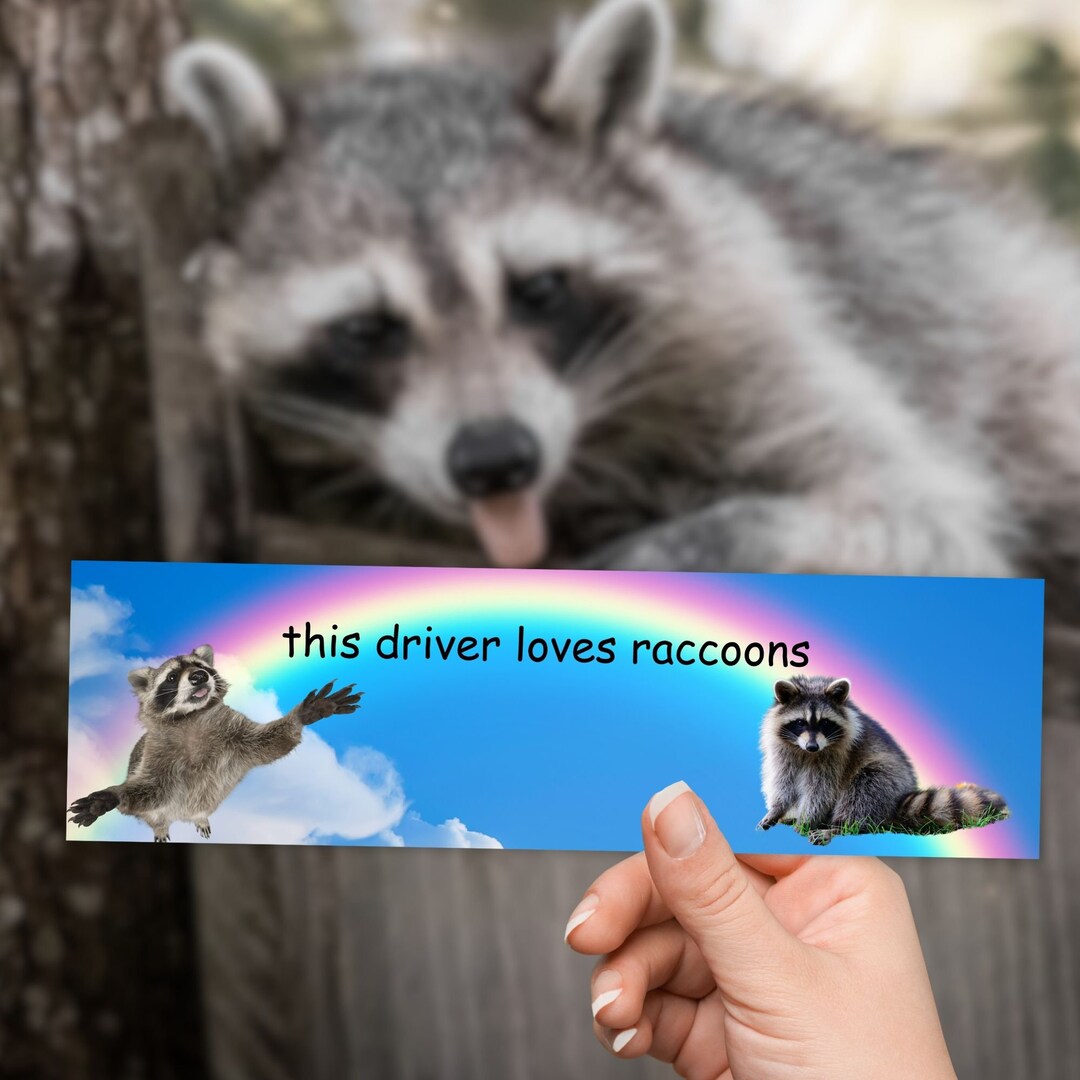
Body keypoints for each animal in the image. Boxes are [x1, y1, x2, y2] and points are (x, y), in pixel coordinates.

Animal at [67, 645, 362, 842]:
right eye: (171, 677)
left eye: (202, 667)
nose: (199, 676)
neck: (193, 717)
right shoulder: (156, 754)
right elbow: (149, 789)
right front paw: (111, 795)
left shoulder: (235, 734)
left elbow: (269, 743)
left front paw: (303, 713)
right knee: (154, 813)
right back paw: (160, 826)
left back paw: (199, 816)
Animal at [162, 1, 1080, 628]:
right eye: (367, 328)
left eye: (538, 289)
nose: (495, 460)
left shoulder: (760, 317)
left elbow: (925, 522)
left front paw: (717, 535)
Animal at [759, 674, 1008, 846]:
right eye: (800, 722)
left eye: (825, 723)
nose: (812, 746)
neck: (806, 752)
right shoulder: (783, 750)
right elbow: (783, 781)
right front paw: (778, 810)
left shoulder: (835, 755)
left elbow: (821, 791)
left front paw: (807, 820)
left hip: (886, 779)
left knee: (863, 791)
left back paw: (838, 827)